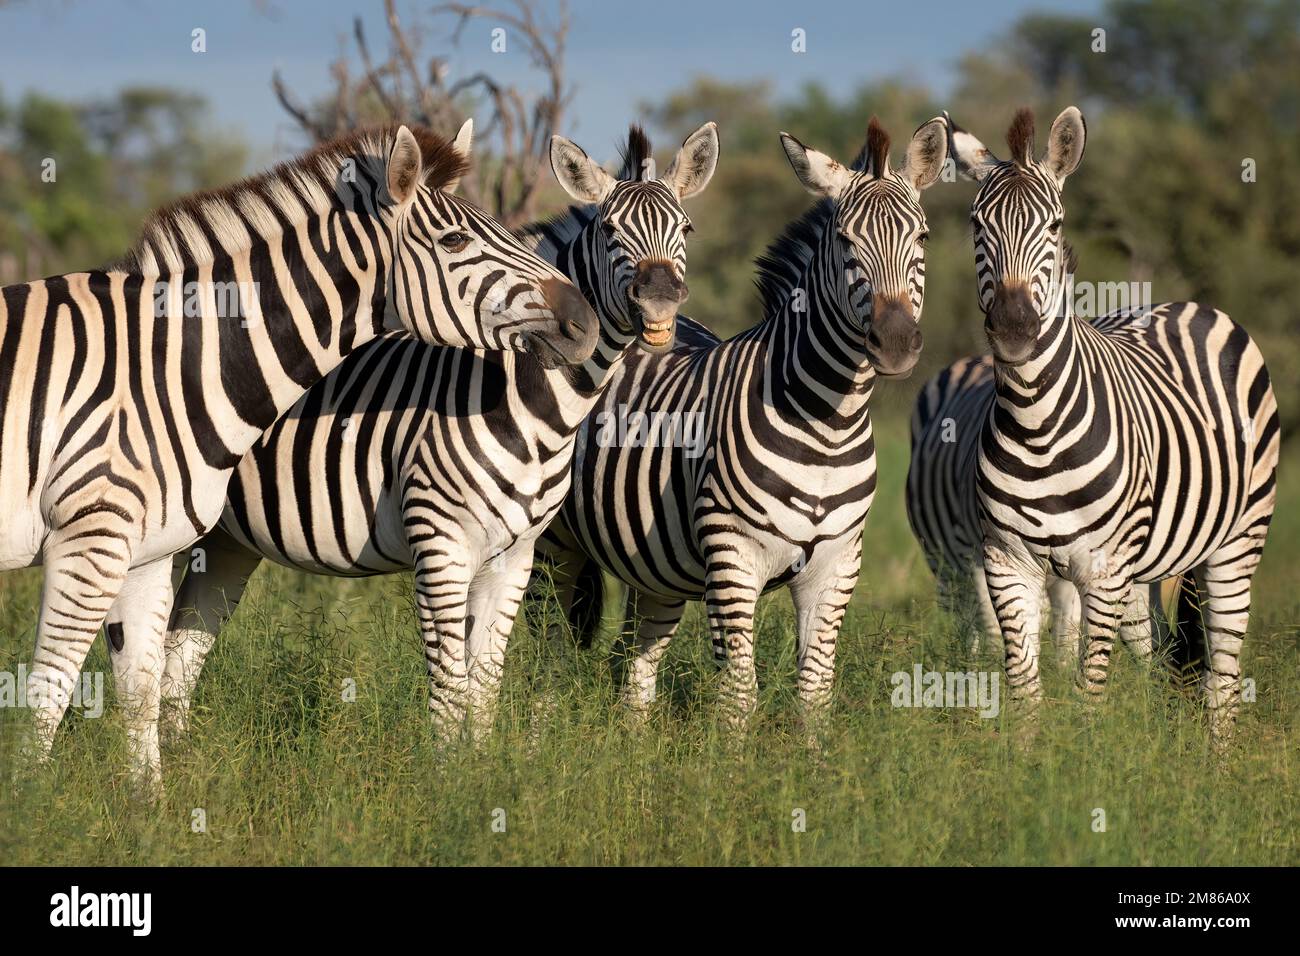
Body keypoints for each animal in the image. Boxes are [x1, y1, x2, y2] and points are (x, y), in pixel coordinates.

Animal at [1, 121, 597, 790]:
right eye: (454, 238)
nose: (585, 321)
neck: (172, 363)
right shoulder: (89, 538)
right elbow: (48, 692)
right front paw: (30, 806)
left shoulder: (143, 550)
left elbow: (138, 692)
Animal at [160, 123, 719, 742]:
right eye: (610, 229)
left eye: (687, 229)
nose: (659, 299)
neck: (528, 404)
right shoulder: (440, 545)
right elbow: (450, 693)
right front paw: (447, 768)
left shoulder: (515, 555)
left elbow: (483, 690)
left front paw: (480, 766)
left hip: (224, 542)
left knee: (180, 652)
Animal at [537, 117, 949, 729]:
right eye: (846, 242)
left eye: (921, 239)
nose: (895, 342)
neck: (828, 426)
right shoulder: (732, 556)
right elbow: (738, 693)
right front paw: (730, 757)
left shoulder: (837, 564)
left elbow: (815, 691)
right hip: (552, 546)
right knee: (548, 646)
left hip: (653, 566)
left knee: (633, 663)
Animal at [947, 106, 1279, 744]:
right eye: (977, 225)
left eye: (1054, 226)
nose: (1015, 330)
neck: (1036, 426)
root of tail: (1189, 305)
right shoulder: (1007, 562)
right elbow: (1024, 690)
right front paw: (1026, 764)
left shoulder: (1102, 570)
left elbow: (1088, 694)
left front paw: (1083, 763)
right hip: (1145, 568)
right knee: (1159, 653)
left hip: (1236, 543)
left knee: (1223, 676)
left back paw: (1218, 761)